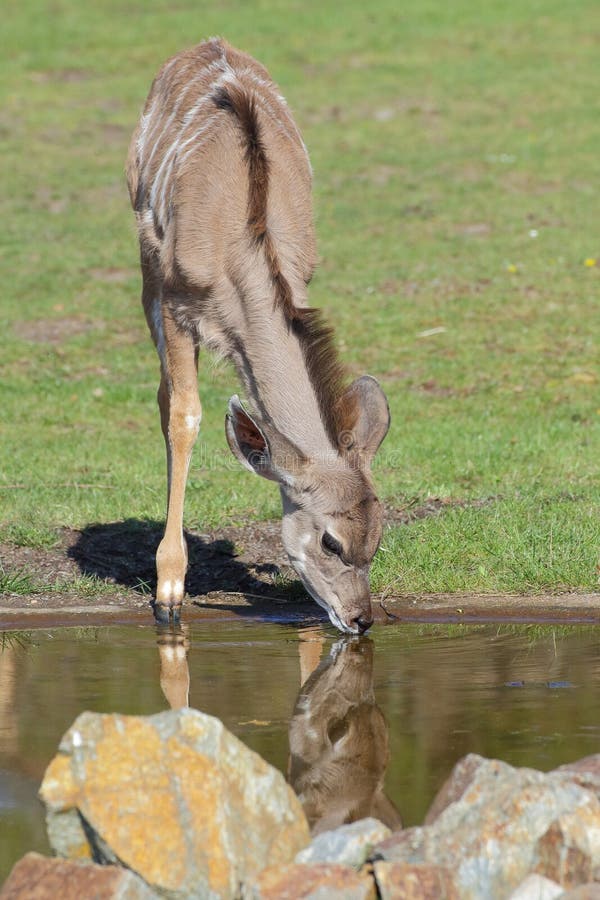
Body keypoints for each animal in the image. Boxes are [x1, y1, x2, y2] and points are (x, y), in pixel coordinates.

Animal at [126, 38, 390, 634]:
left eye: (377, 538)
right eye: (332, 541)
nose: (360, 619)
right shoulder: (176, 303)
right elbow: (185, 416)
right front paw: (169, 591)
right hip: (145, 257)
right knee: (165, 396)